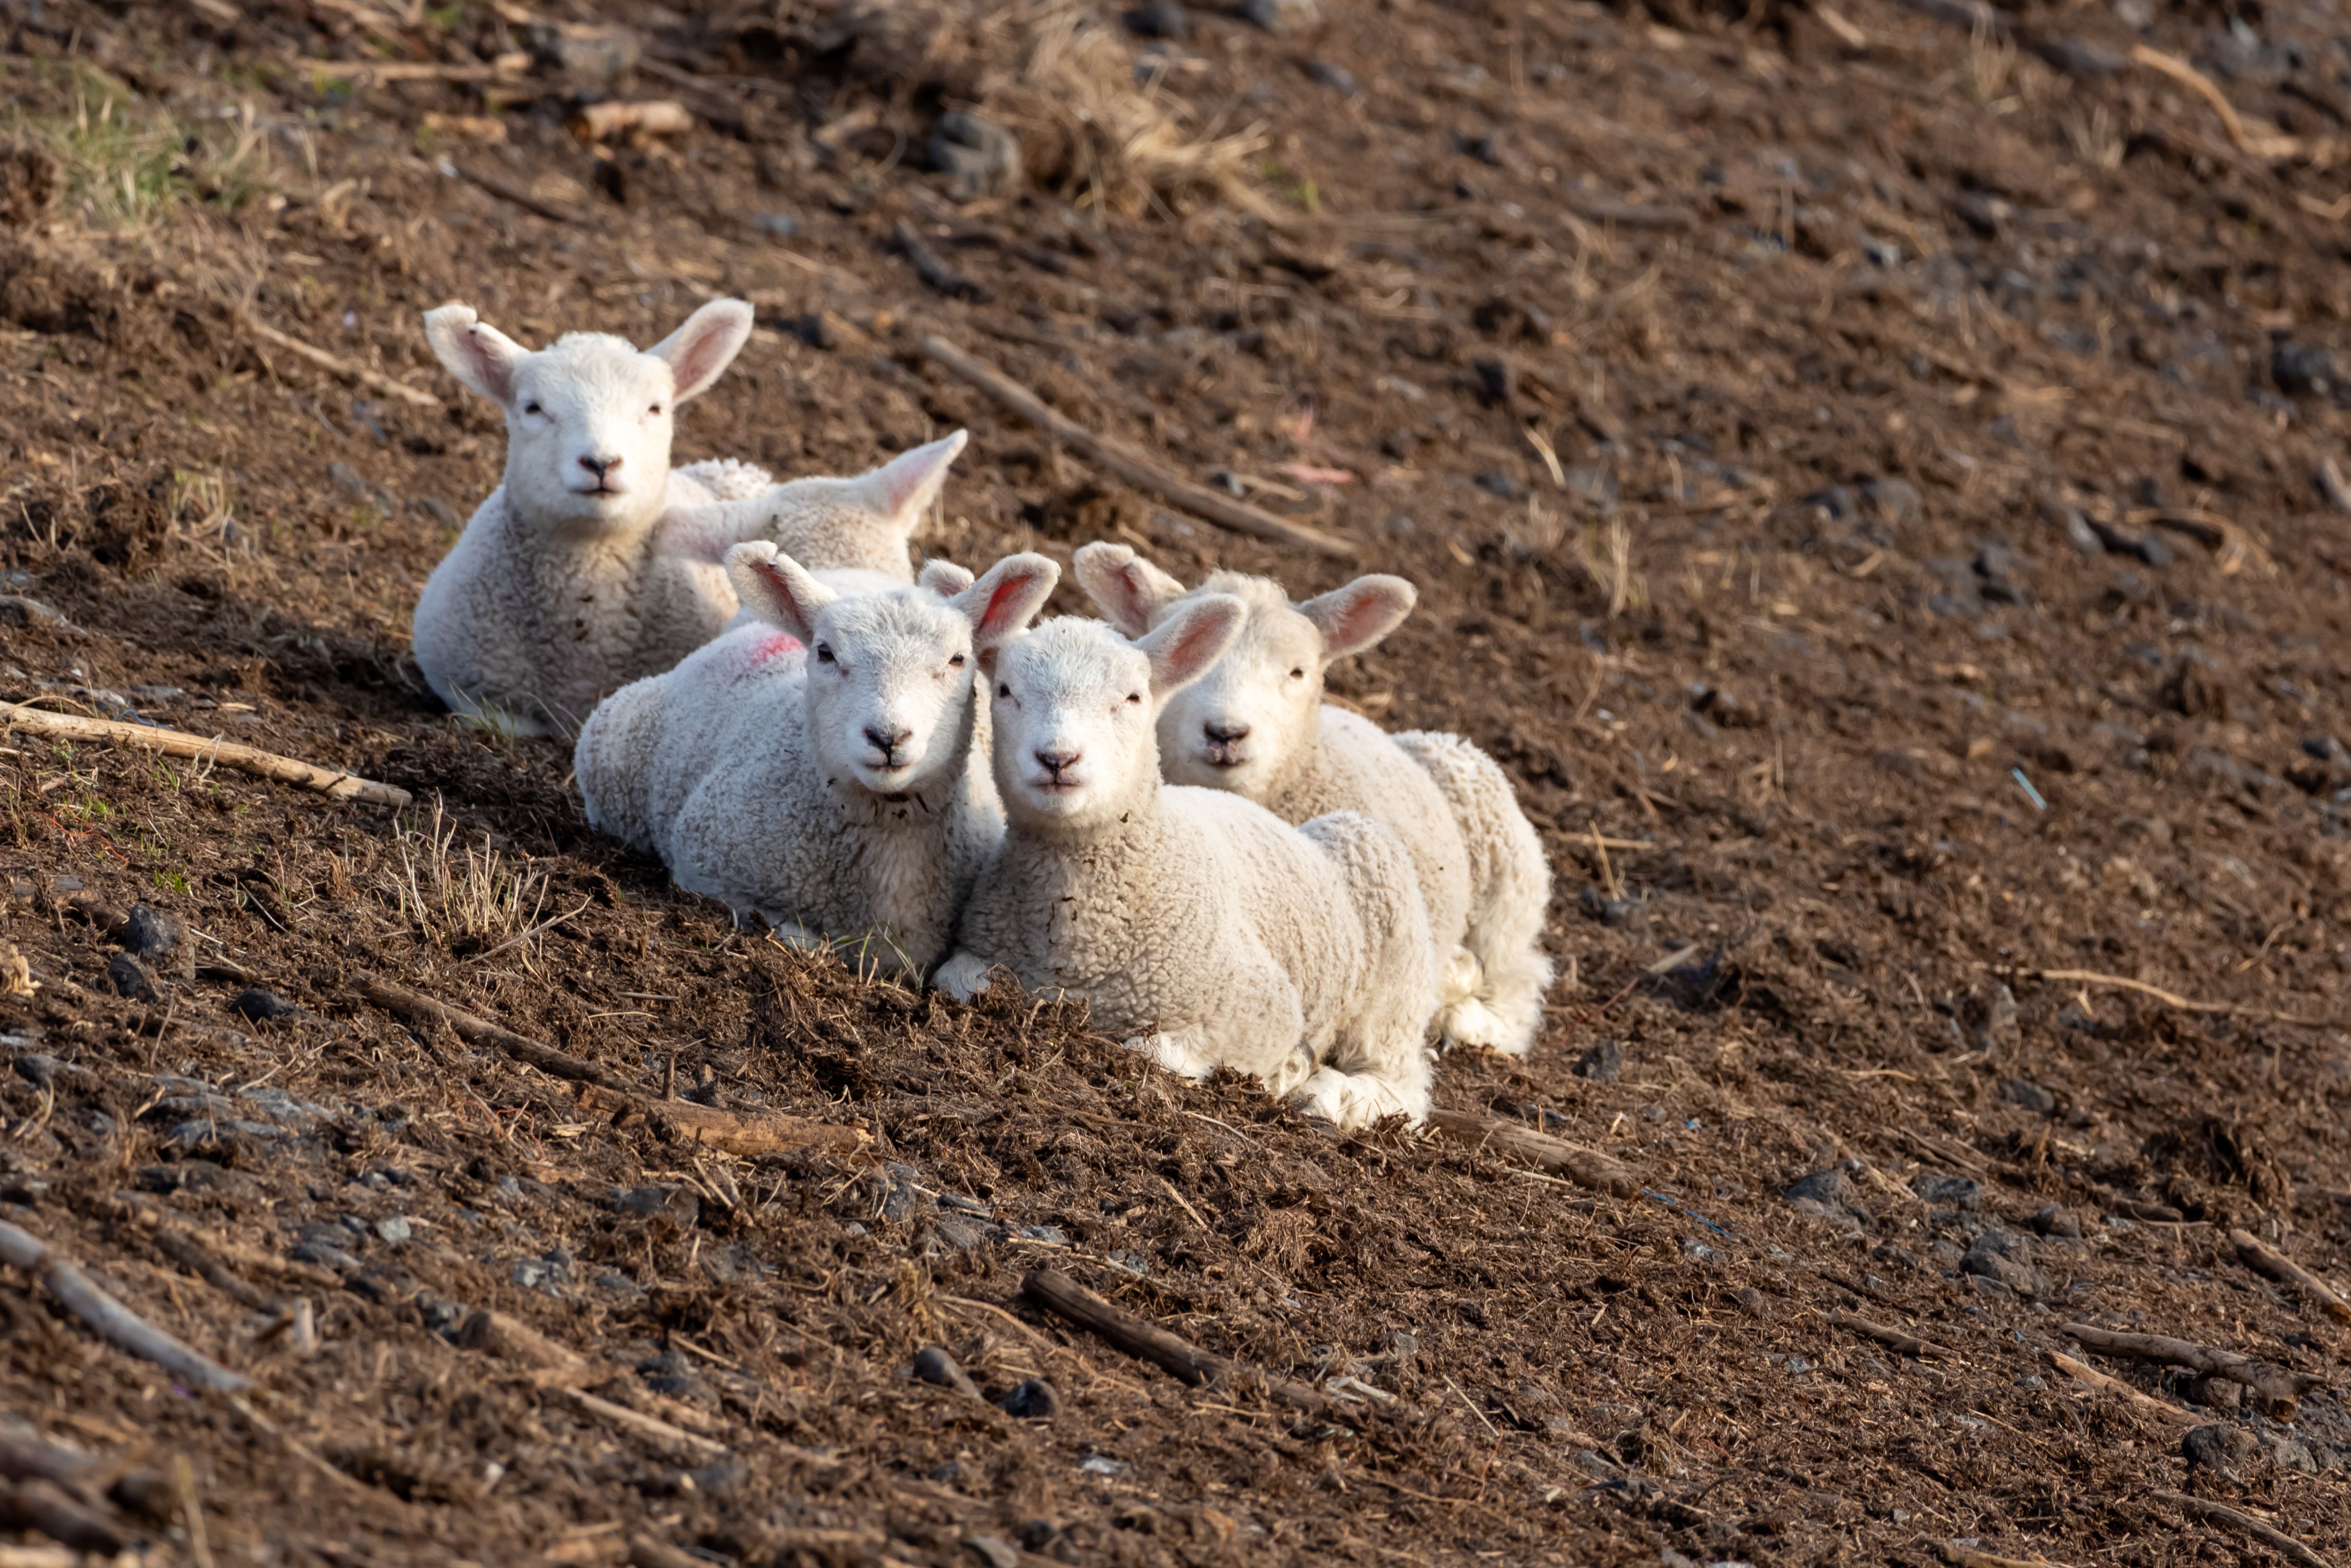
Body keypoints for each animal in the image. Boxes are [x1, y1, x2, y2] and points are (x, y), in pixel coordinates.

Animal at [935, 600, 1439, 1130]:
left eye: (1133, 697)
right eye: (1006, 691)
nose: (1058, 758)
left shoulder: (1264, 1005)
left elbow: (1150, 1050)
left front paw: (1282, 1070)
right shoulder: (979, 947)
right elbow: (955, 981)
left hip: (1390, 965)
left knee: (1400, 1081)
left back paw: (1331, 1092)